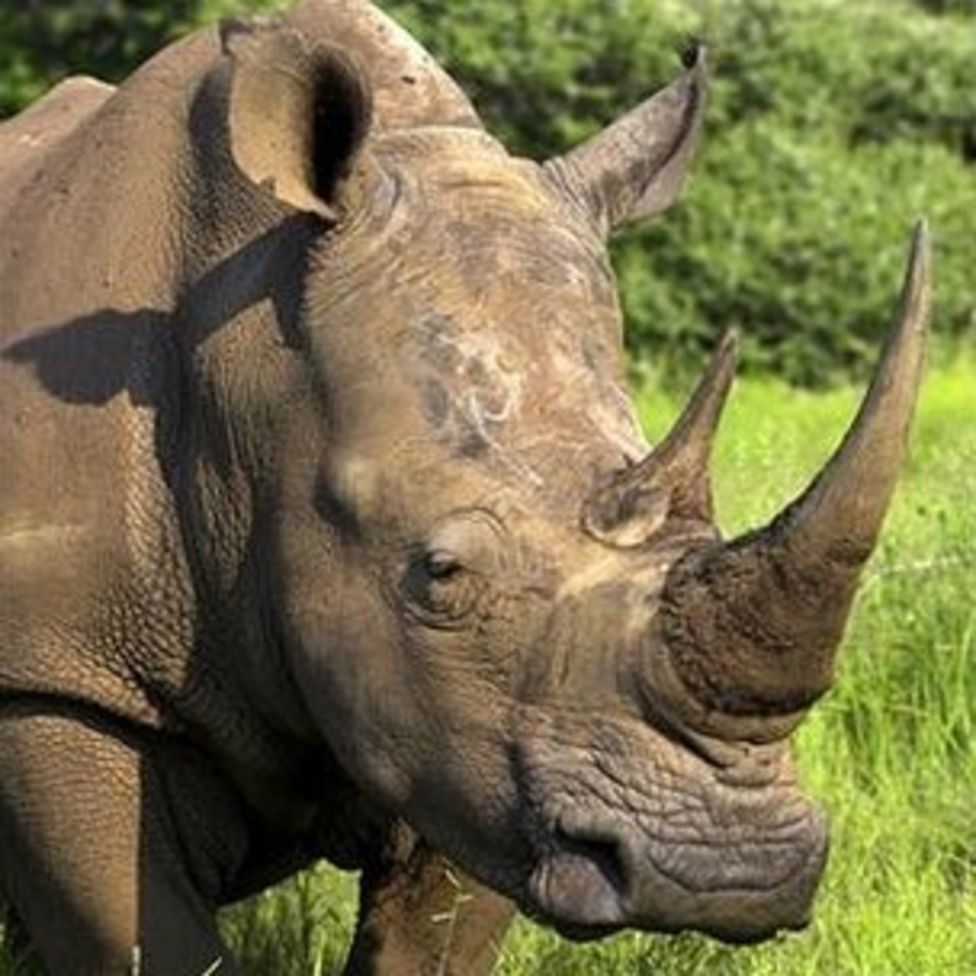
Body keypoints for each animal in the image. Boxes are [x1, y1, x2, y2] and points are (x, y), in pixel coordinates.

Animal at [0, 0, 931, 973]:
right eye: (438, 572)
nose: (727, 870)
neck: (248, 345)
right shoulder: (58, 674)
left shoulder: (483, 742)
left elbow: (439, 928)